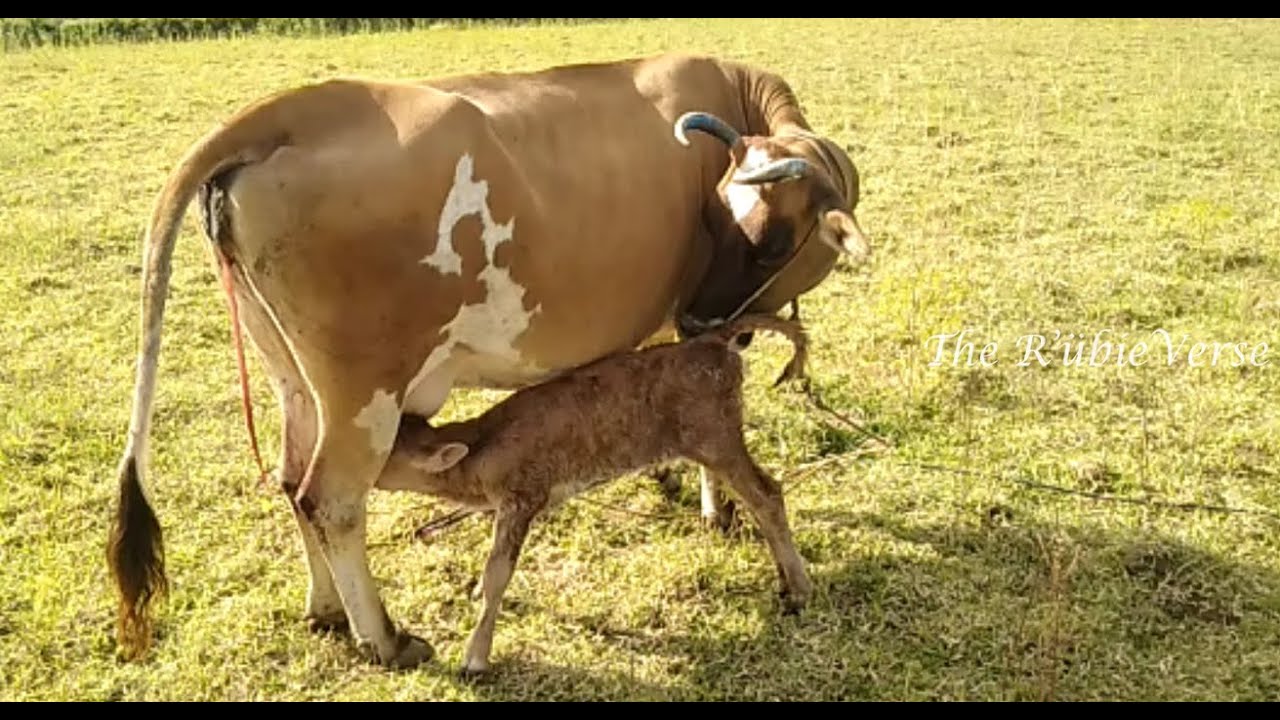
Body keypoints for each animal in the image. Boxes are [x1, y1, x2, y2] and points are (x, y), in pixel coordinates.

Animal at [108, 52, 870, 668]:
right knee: (333, 498)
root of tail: (295, 108)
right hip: (364, 392)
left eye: (764, 238)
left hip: (292, 376)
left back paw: (327, 611)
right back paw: (385, 638)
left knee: (293, 482)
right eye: (738, 231)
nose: (704, 318)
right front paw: (712, 501)